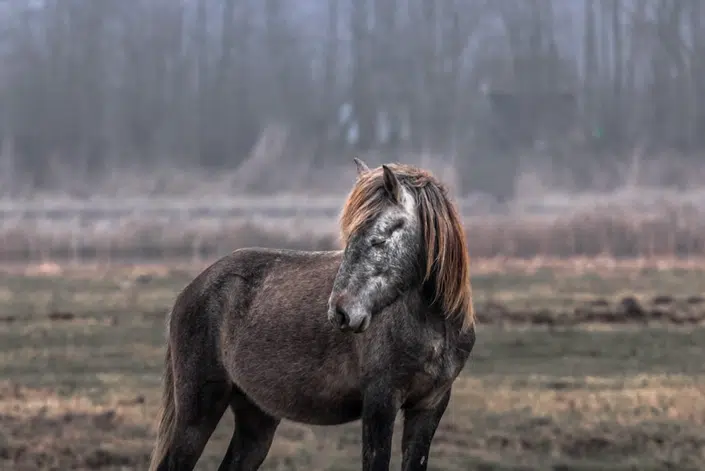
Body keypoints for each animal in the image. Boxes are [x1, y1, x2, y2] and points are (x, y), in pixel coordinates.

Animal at [148, 158, 476, 471]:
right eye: (350, 236)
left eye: (379, 240)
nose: (340, 312)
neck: (434, 327)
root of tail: (191, 290)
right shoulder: (381, 403)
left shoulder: (429, 406)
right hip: (198, 410)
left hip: (256, 415)